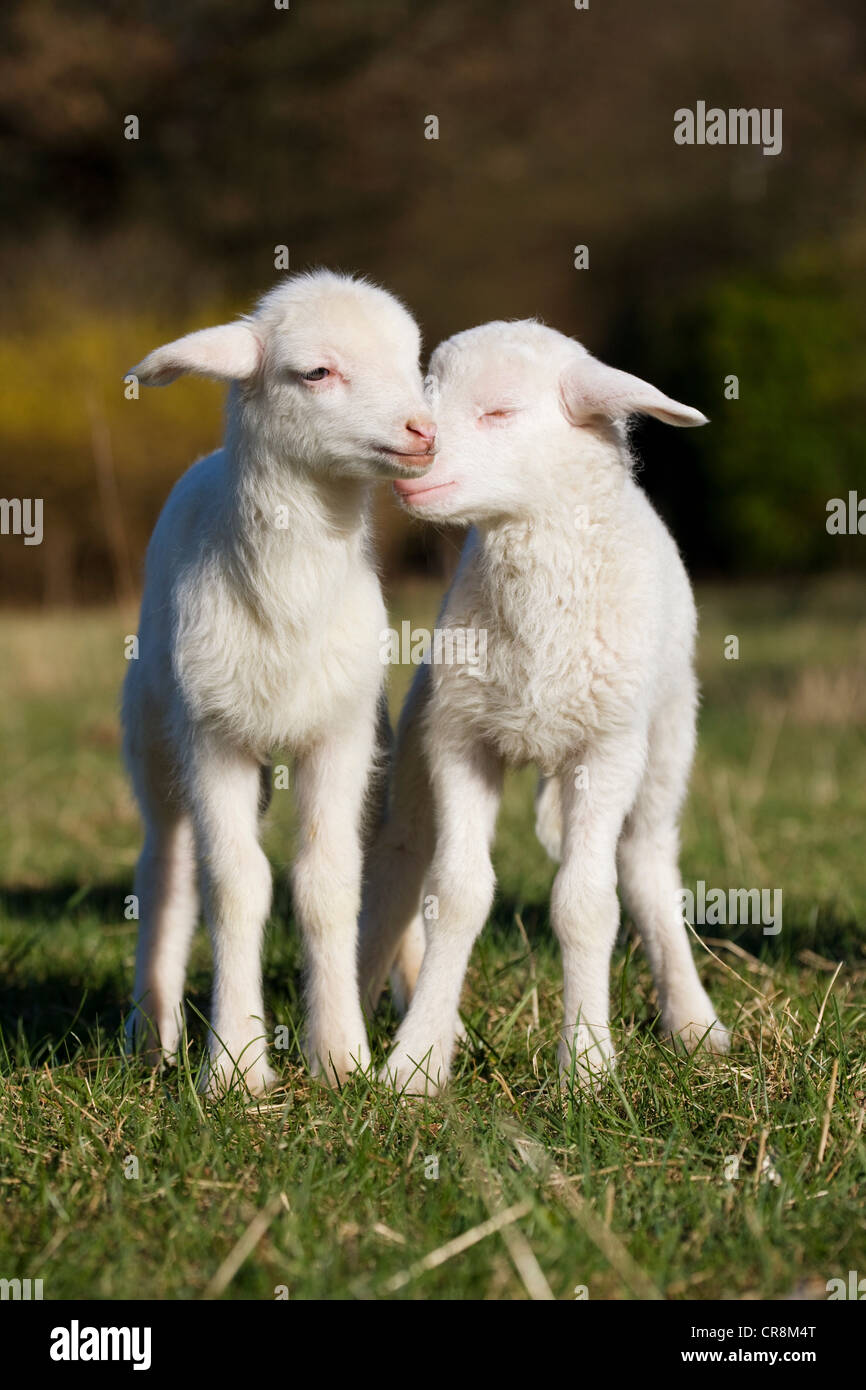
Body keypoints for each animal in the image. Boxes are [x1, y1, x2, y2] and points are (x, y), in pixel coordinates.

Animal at [122, 270, 436, 1095]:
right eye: (316, 372)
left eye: (412, 359)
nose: (424, 431)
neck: (289, 596)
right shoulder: (215, 740)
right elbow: (236, 888)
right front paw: (236, 1067)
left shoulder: (341, 735)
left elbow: (329, 885)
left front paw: (341, 1056)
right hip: (154, 733)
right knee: (165, 870)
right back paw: (151, 1033)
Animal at [358, 319, 730, 1095]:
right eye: (426, 389)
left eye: (500, 411)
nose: (413, 458)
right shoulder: (461, 739)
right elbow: (455, 896)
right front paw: (416, 1061)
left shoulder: (606, 750)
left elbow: (586, 905)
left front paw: (586, 1065)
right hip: (420, 732)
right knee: (399, 864)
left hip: (663, 741)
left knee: (647, 865)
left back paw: (693, 1021)